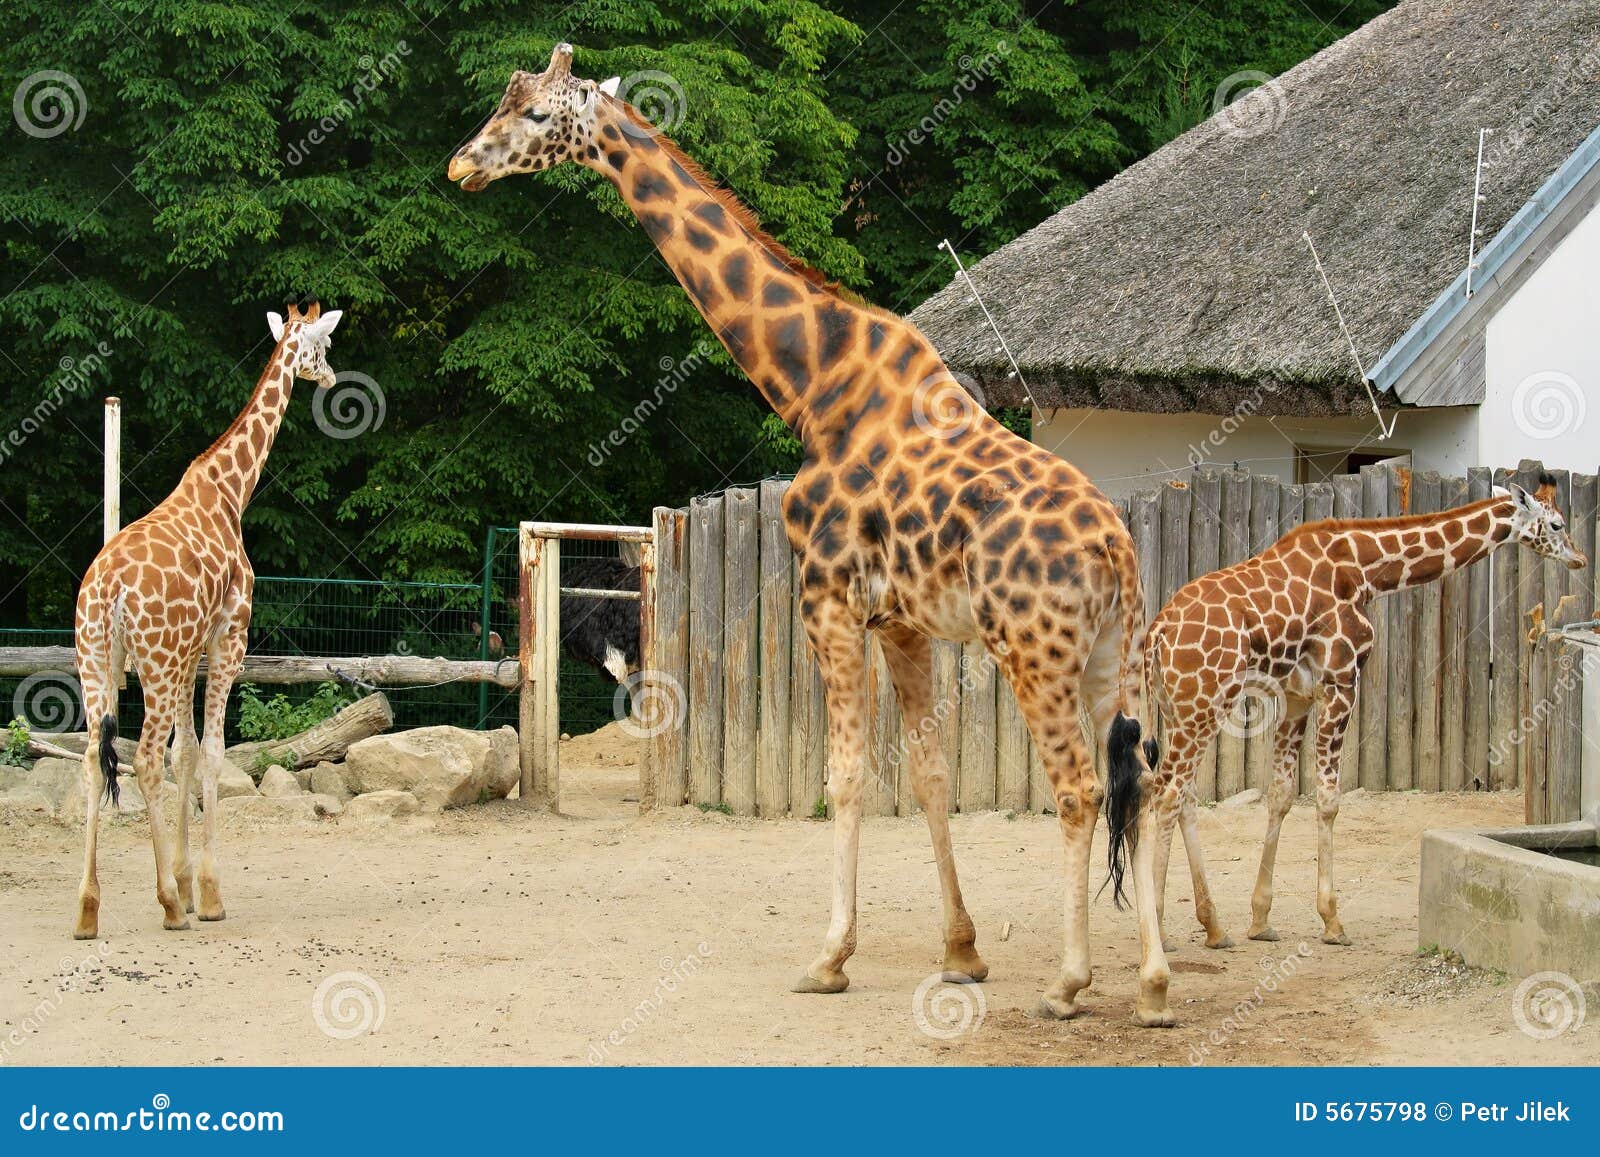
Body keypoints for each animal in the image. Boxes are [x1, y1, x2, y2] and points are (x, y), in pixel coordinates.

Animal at [72, 298, 344, 939]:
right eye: (322, 346)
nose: (330, 378)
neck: (230, 491)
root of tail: (110, 591)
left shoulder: (192, 650)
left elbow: (188, 753)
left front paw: (189, 879)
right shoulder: (228, 637)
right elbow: (213, 753)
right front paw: (208, 895)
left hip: (97, 658)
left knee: (94, 757)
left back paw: (89, 910)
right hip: (154, 663)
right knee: (141, 759)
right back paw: (168, 906)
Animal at [448, 44, 1177, 1025]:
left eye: (533, 114)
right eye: (504, 101)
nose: (462, 164)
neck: (812, 386)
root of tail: (1117, 550)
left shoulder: (826, 599)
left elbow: (844, 775)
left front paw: (829, 956)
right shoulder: (901, 621)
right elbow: (929, 773)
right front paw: (962, 951)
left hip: (1036, 654)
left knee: (1079, 787)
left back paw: (1070, 982)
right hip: (1110, 656)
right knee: (1151, 782)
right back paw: (1154, 982)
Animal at [1147, 477, 1584, 952]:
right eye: (1557, 523)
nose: (1579, 558)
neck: (1365, 571)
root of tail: (1158, 633)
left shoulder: (1298, 694)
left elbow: (1282, 795)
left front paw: (1260, 920)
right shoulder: (1341, 681)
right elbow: (1328, 799)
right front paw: (1332, 921)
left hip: (1179, 709)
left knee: (1183, 796)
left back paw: (1214, 927)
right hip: (1202, 705)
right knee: (1166, 795)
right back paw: (1159, 931)